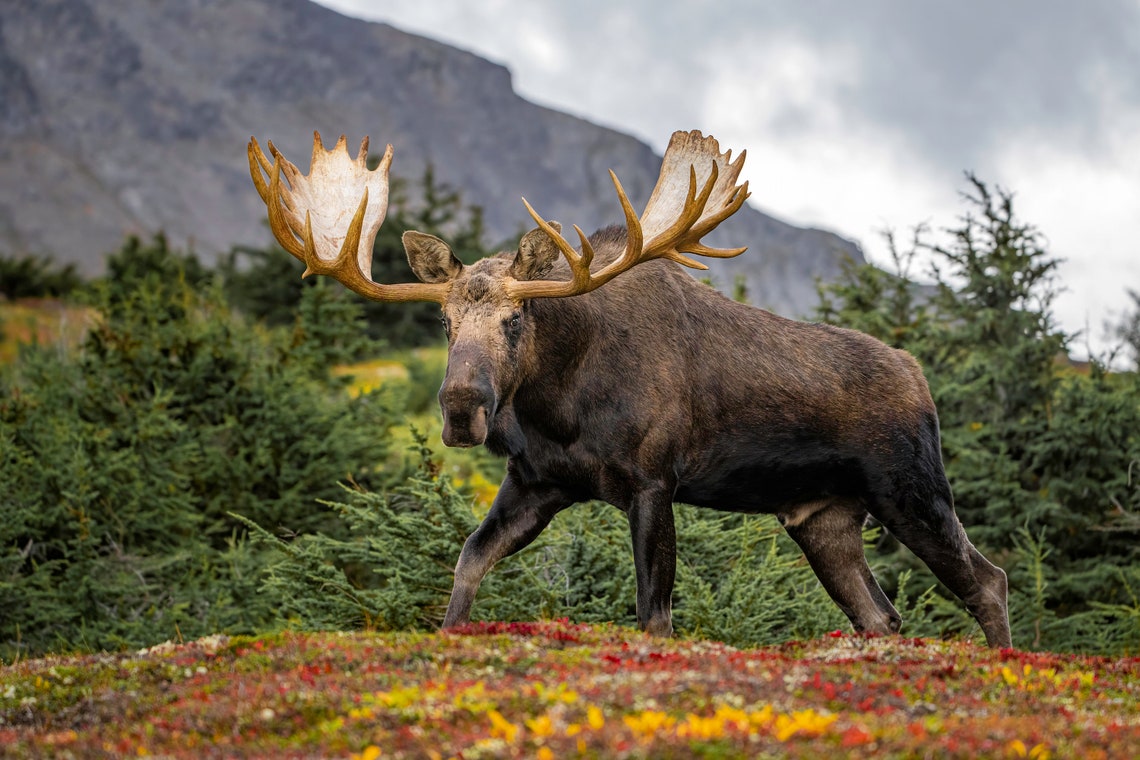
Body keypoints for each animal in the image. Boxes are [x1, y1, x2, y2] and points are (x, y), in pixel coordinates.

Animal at [247, 129, 1012, 648]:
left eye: (515, 318)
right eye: (443, 320)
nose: (463, 410)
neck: (560, 405)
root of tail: (920, 378)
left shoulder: (653, 482)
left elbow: (654, 616)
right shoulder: (537, 483)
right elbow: (468, 561)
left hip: (910, 488)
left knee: (988, 580)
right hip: (822, 517)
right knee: (882, 616)